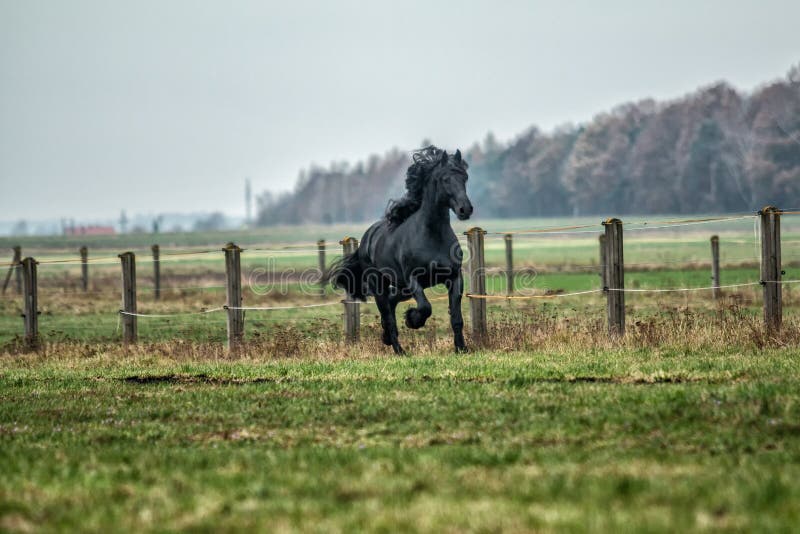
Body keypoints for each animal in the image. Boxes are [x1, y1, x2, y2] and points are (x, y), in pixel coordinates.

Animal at [330, 145, 473, 354]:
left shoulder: (454, 277)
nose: (465, 209)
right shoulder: (413, 279)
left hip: (402, 288)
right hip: (380, 284)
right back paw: (399, 350)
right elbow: (425, 307)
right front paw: (412, 320)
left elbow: (456, 318)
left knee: (391, 303)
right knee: (387, 313)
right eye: (445, 179)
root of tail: (367, 238)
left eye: (464, 177)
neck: (433, 235)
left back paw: (387, 338)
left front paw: (461, 348)